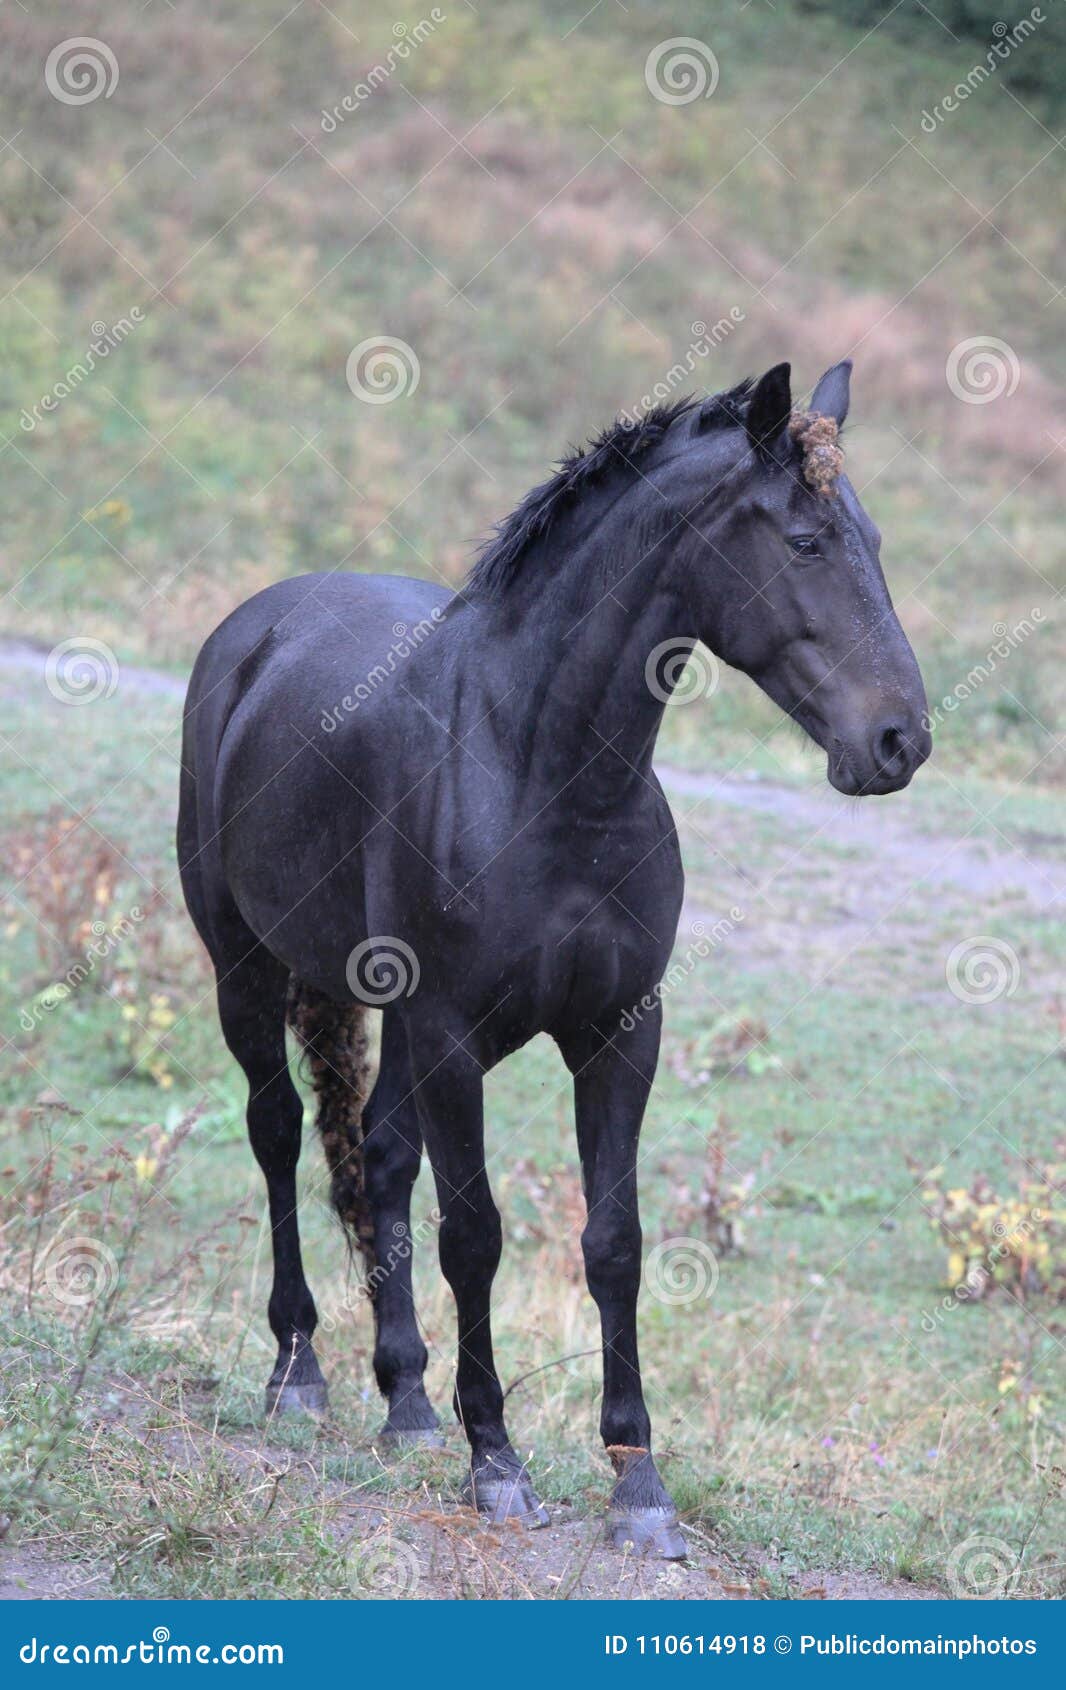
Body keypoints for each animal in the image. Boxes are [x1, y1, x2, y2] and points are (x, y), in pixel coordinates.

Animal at [177, 359, 930, 1559]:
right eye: (807, 541)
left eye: (873, 538)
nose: (900, 741)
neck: (538, 769)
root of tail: (253, 629)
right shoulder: (451, 1038)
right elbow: (476, 1235)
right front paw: (498, 1463)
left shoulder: (618, 1032)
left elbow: (612, 1239)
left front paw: (638, 1483)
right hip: (245, 971)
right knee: (279, 1132)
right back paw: (299, 1371)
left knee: (379, 1157)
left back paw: (406, 1400)